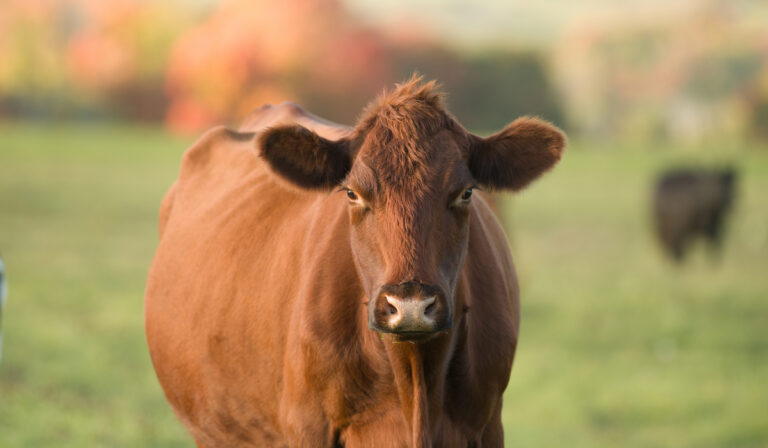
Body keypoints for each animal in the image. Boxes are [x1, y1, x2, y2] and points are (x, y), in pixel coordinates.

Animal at [145, 77, 566, 447]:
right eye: (352, 192)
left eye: (465, 193)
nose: (410, 305)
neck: (414, 385)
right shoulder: (308, 427)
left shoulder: (489, 424)